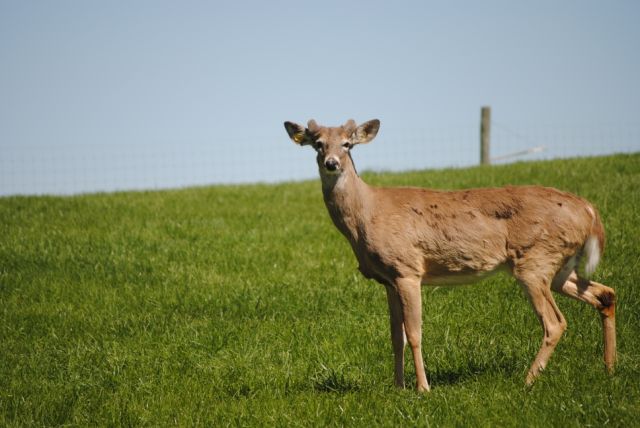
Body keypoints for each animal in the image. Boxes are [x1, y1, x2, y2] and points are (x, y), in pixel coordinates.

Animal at [284, 118, 616, 392]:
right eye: (318, 143)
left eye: (347, 144)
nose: (331, 163)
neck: (367, 213)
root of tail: (589, 211)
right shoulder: (387, 279)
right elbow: (395, 337)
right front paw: (398, 387)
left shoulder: (407, 270)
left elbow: (414, 334)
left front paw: (423, 388)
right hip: (559, 266)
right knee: (605, 293)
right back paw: (609, 368)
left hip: (535, 260)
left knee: (555, 322)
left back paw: (527, 381)